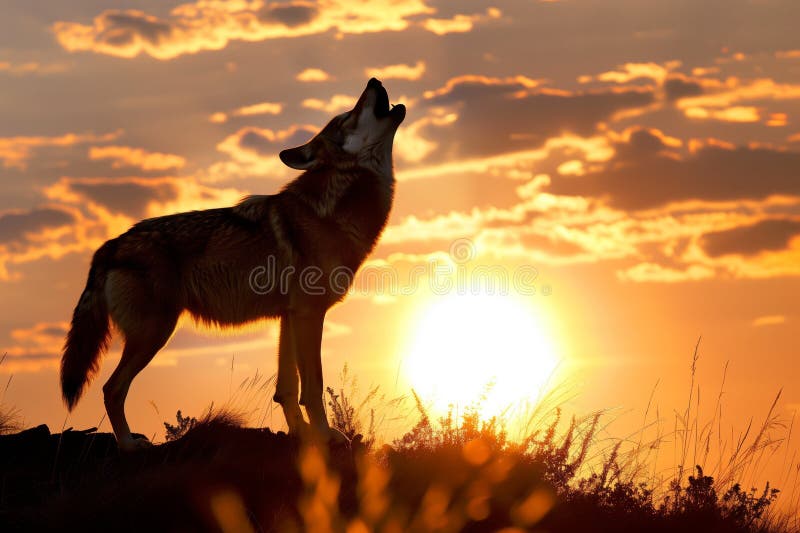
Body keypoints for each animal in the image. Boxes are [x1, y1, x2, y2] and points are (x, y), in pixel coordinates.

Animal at [60, 78, 405, 450]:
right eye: (347, 116)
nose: (374, 81)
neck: (332, 209)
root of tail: (110, 245)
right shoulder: (310, 314)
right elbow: (312, 387)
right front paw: (327, 437)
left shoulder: (289, 315)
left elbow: (287, 389)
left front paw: (300, 436)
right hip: (154, 333)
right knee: (112, 389)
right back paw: (128, 444)